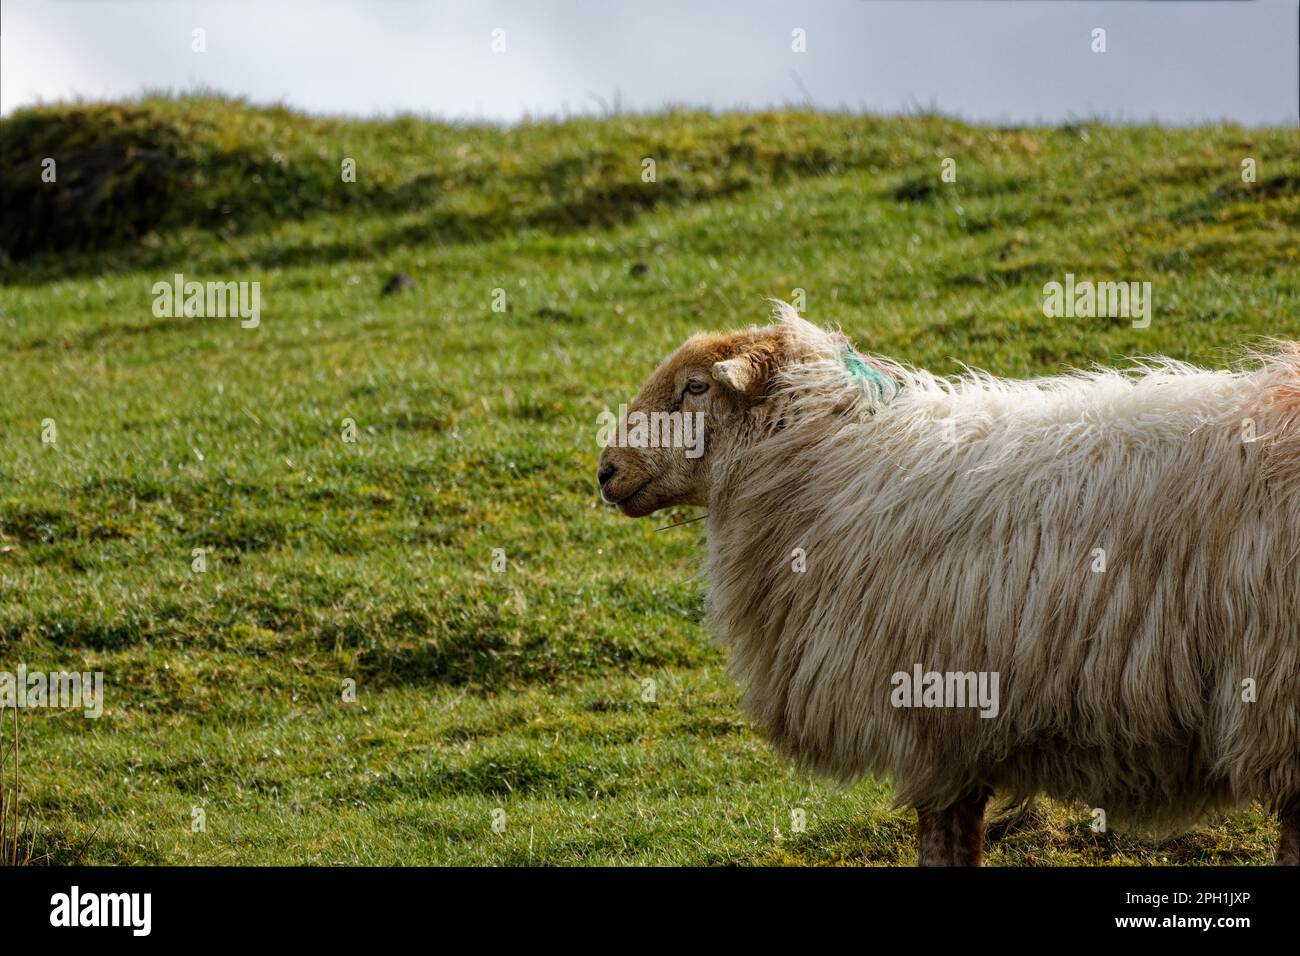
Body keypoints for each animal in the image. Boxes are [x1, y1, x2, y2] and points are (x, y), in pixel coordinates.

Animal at [597, 302, 1300, 866]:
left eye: (694, 387)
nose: (605, 471)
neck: (828, 458)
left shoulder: (930, 718)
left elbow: (941, 840)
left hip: (1276, 690)